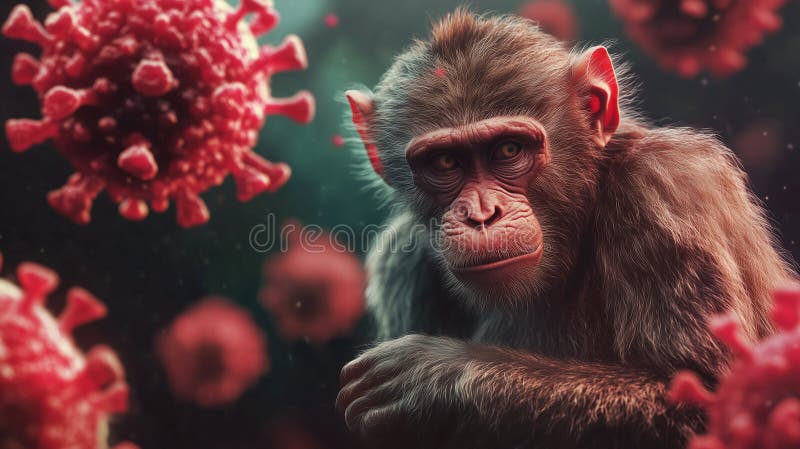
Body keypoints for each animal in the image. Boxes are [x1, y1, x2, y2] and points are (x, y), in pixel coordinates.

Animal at [335, 10, 797, 449]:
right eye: (446, 162)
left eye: (508, 150)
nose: (482, 214)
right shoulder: (401, 261)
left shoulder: (667, 186)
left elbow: (706, 394)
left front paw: (432, 382)